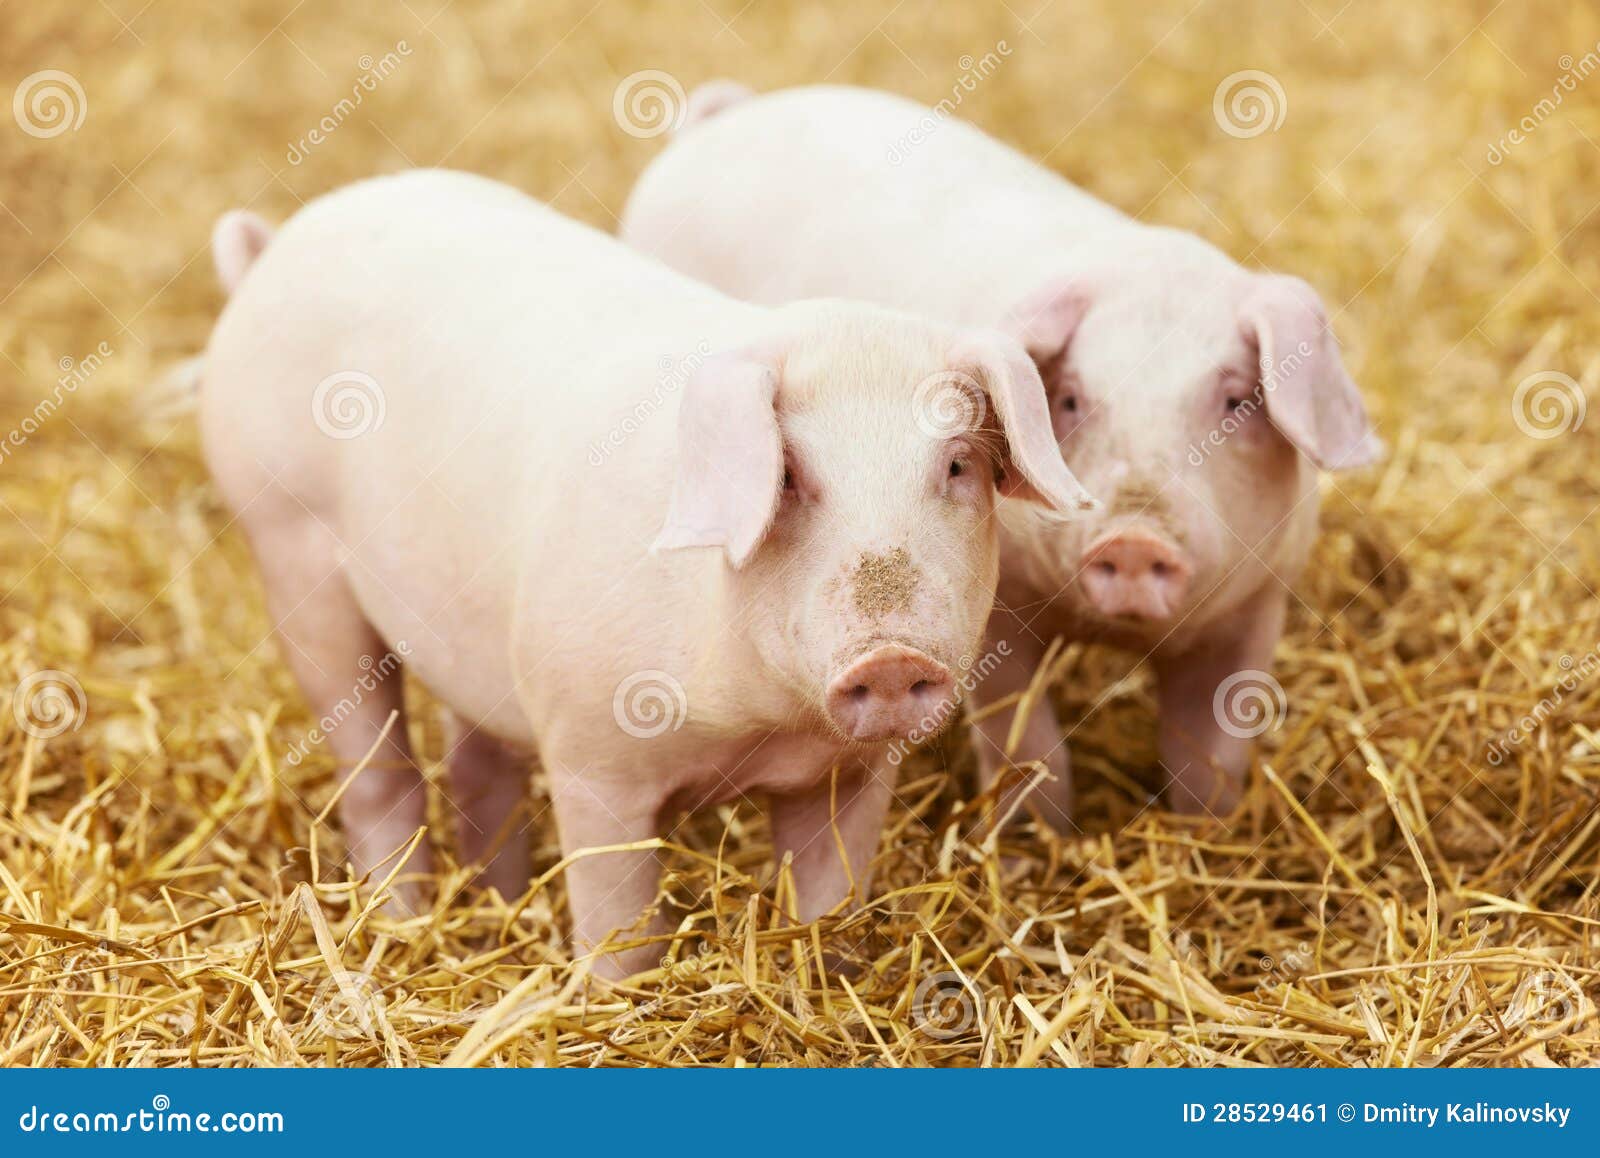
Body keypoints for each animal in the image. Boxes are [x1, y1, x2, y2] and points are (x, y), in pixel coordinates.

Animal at [199, 169, 1092, 977]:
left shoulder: (854, 772)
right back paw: (401, 923)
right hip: (287, 547)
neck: (758, 726)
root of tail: (274, 246)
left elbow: (828, 899)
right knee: (379, 778)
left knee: (477, 767)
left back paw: (497, 906)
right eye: (789, 474)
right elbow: (618, 926)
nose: (893, 657)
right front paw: (612, 994)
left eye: (956, 465)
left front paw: (826, 971)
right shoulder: (590, 754)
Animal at [622, 84, 1380, 823]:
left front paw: (1204, 829)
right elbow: (1027, 741)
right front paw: (1033, 835)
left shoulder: (1256, 608)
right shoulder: (998, 611)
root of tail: (732, 111)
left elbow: (1208, 757)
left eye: (1236, 401)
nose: (1134, 539)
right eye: (1070, 398)